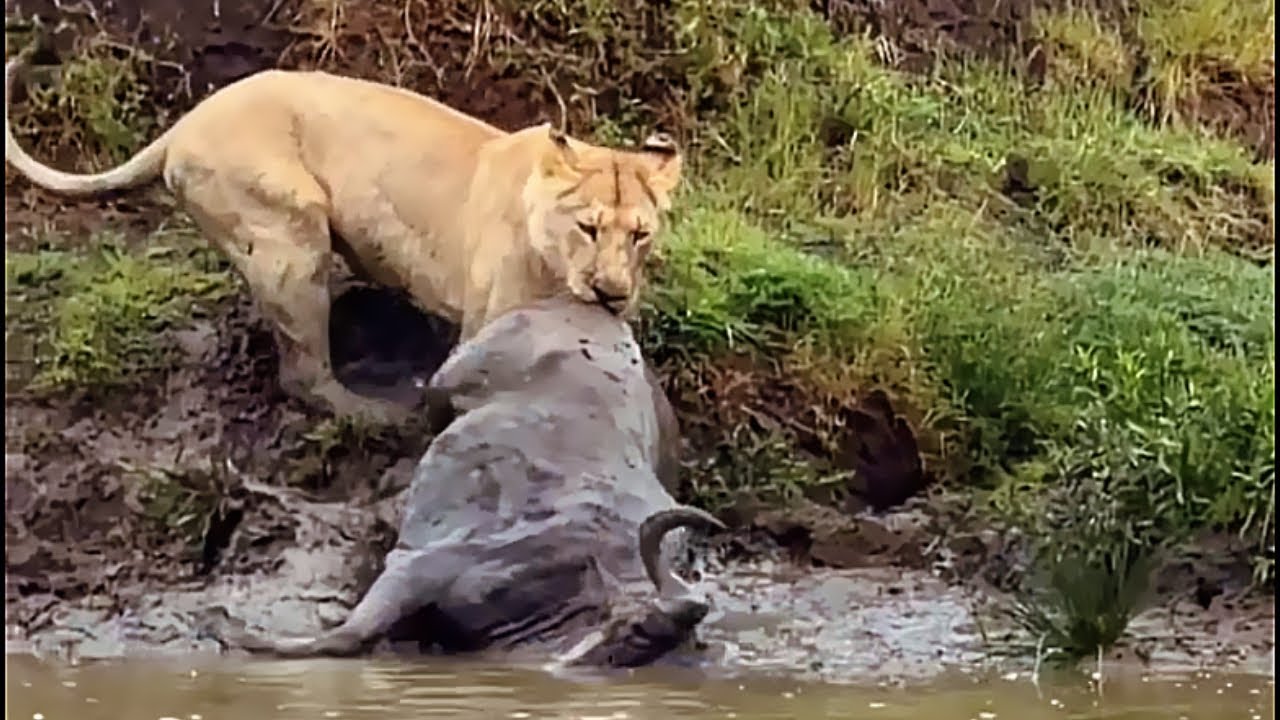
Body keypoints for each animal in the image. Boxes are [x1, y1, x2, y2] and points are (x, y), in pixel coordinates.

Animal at [4, 57, 684, 423]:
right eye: (588, 228)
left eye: (640, 236)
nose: (611, 293)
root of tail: (186, 122)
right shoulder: (487, 328)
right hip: (289, 231)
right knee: (304, 374)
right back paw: (374, 414)